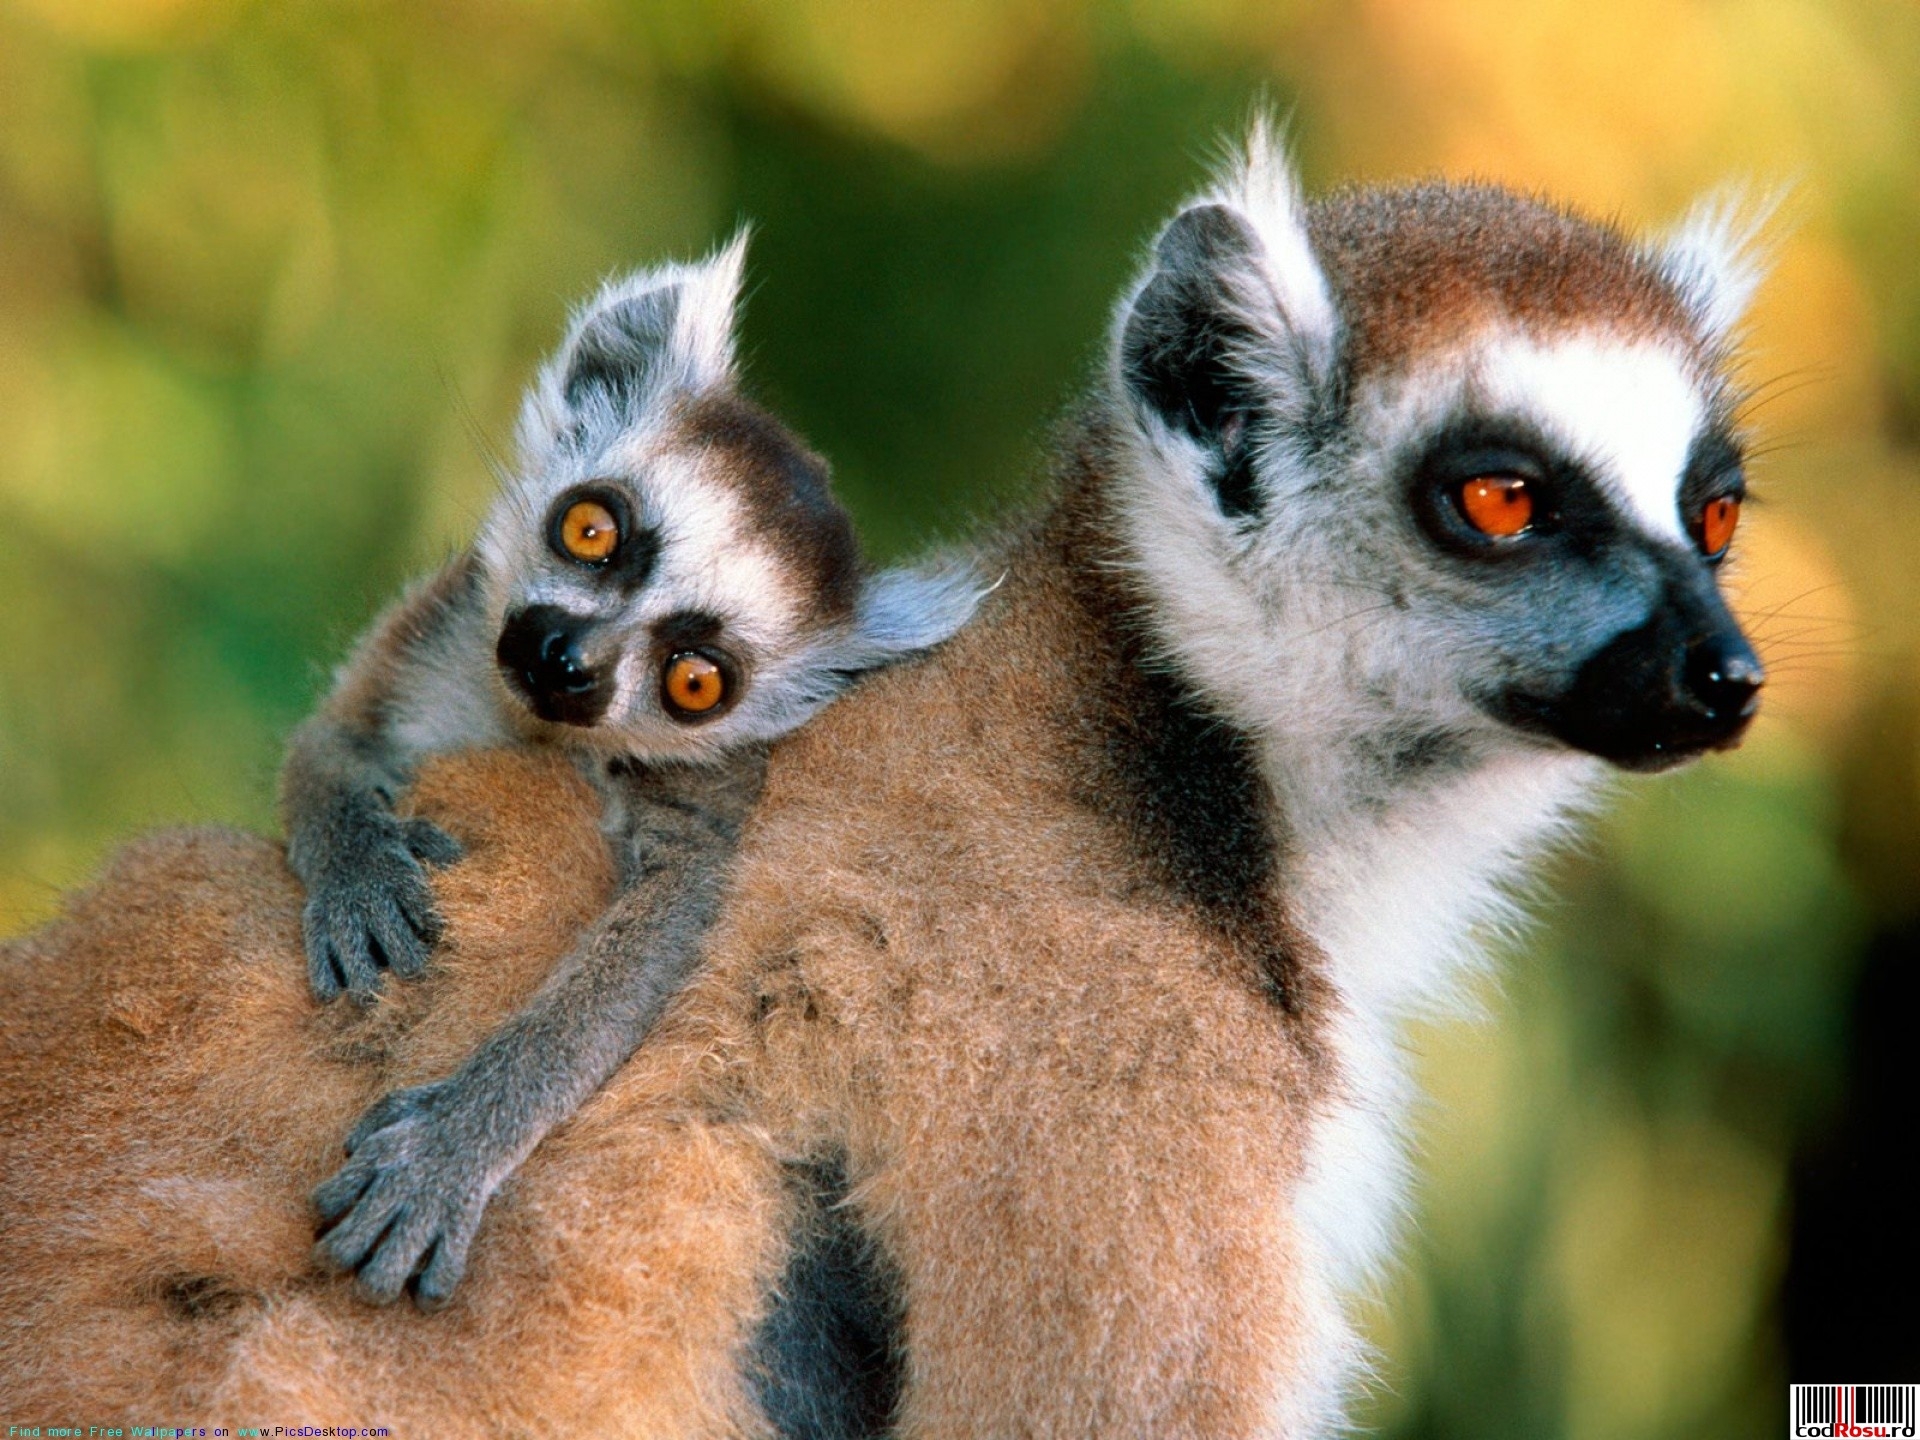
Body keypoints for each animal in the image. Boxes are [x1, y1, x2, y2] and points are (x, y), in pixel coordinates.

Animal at [277, 236, 982, 1307]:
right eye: (591, 531)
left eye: (696, 680)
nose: (566, 661)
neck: (538, 731)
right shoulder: (442, 621)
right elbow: (325, 748)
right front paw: (360, 874)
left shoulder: (709, 790)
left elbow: (671, 919)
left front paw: (450, 1149)